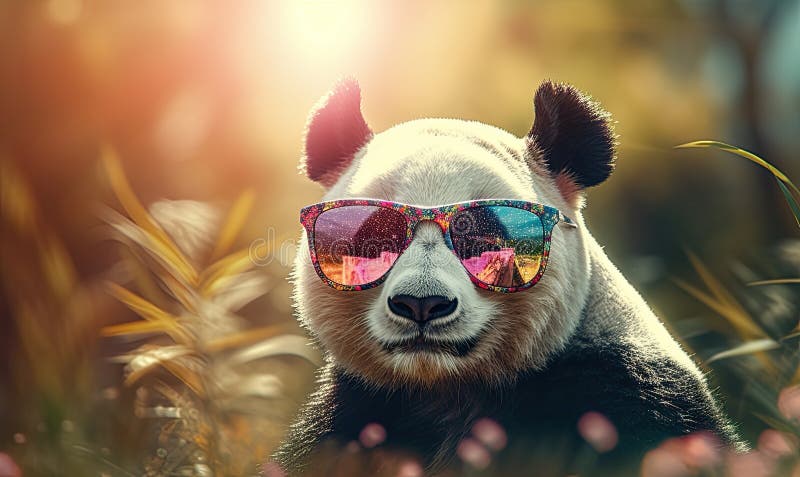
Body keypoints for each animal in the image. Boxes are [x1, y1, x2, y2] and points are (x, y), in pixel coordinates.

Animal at [270, 79, 742, 476]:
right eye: (373, 238)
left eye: (485, 237)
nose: (422, 304)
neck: (445, 388)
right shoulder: (356, 416)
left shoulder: (623, 393)